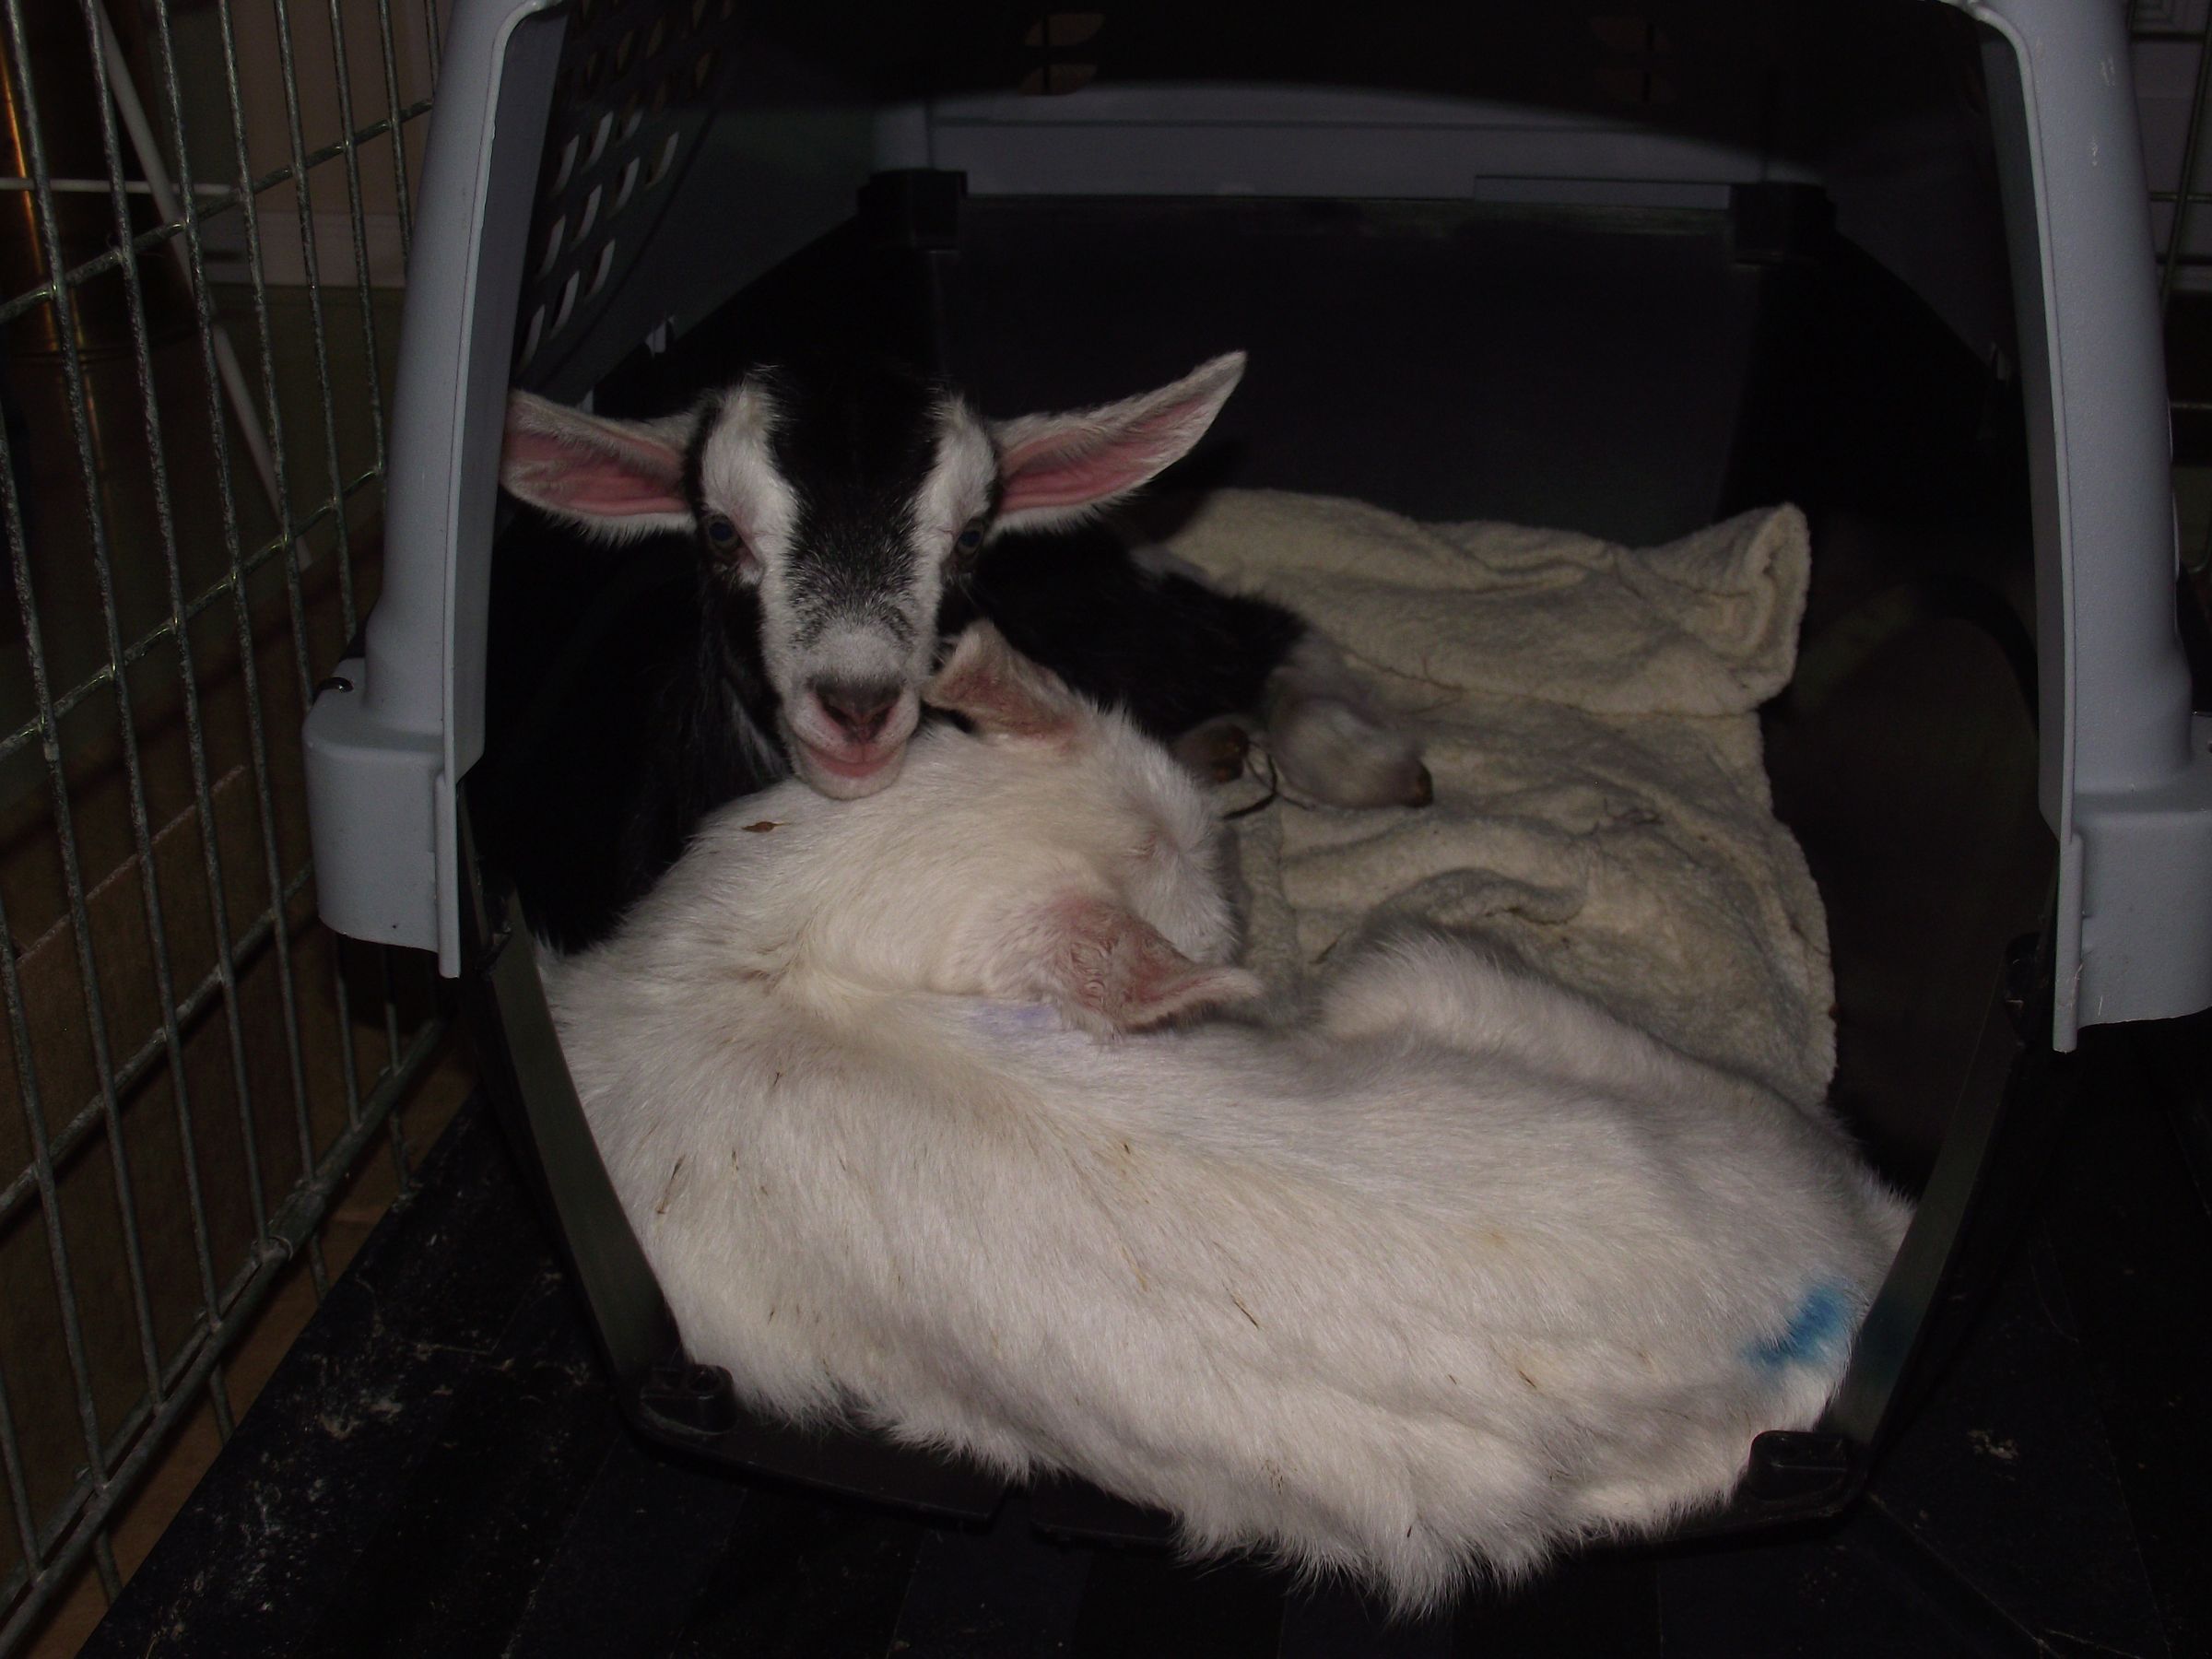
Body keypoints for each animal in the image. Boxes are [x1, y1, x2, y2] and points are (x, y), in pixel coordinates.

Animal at [481, 352, 1427, 951]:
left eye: (971, 539)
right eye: (720, 532)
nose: (857, 706)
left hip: (1108, 625)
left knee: (1257, 627)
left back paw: (1366, 762)